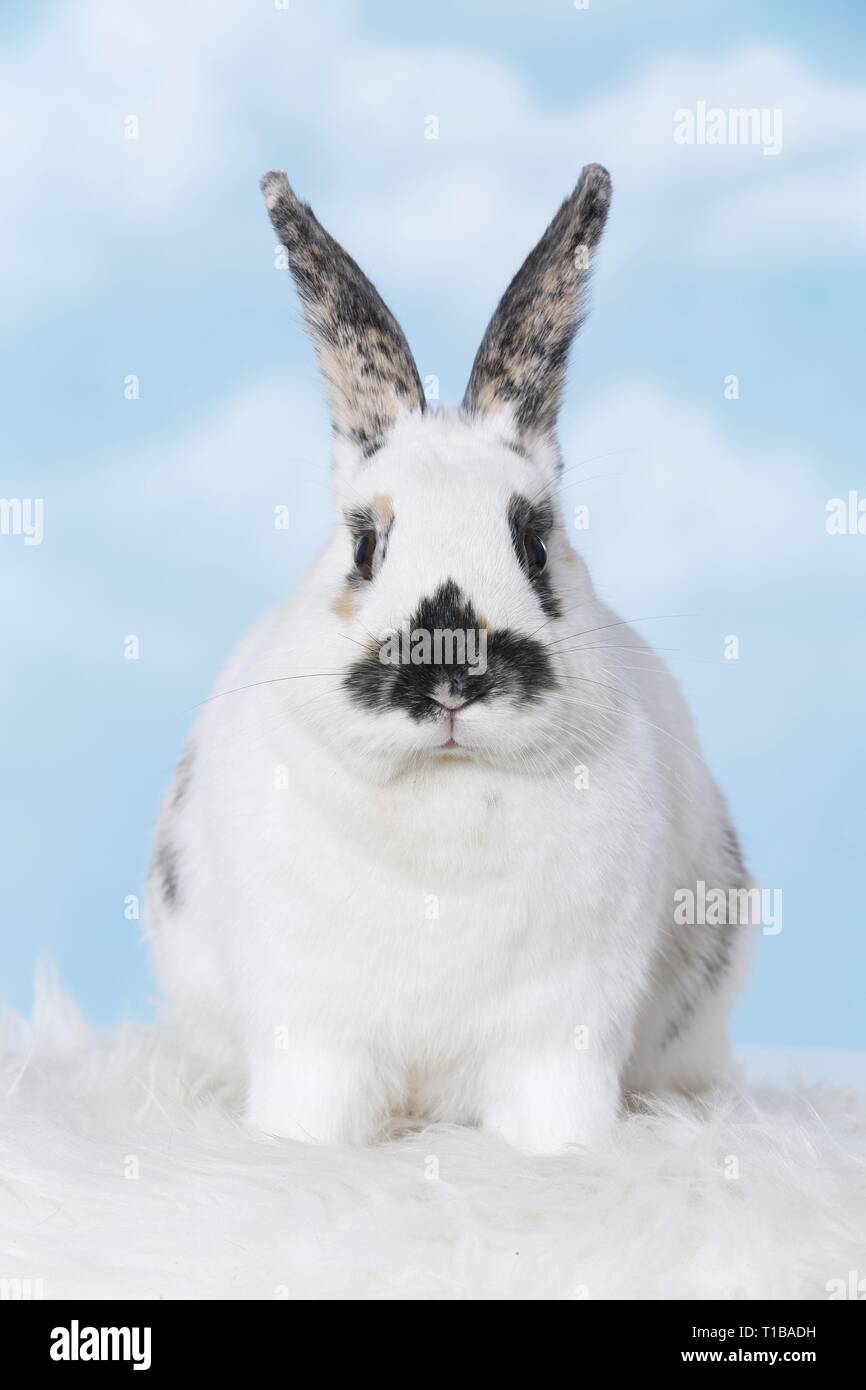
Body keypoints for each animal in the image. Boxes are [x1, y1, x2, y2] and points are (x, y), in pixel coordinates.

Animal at [145, 164, 754, 1154]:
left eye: (536, 545)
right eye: (364, 547)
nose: (452, 677)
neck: (444, 805)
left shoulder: (563, 1031)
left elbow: (555, 1109)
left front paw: (563, 1156)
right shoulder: (310, 1026)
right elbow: (313, 1105)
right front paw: (294, 1148)